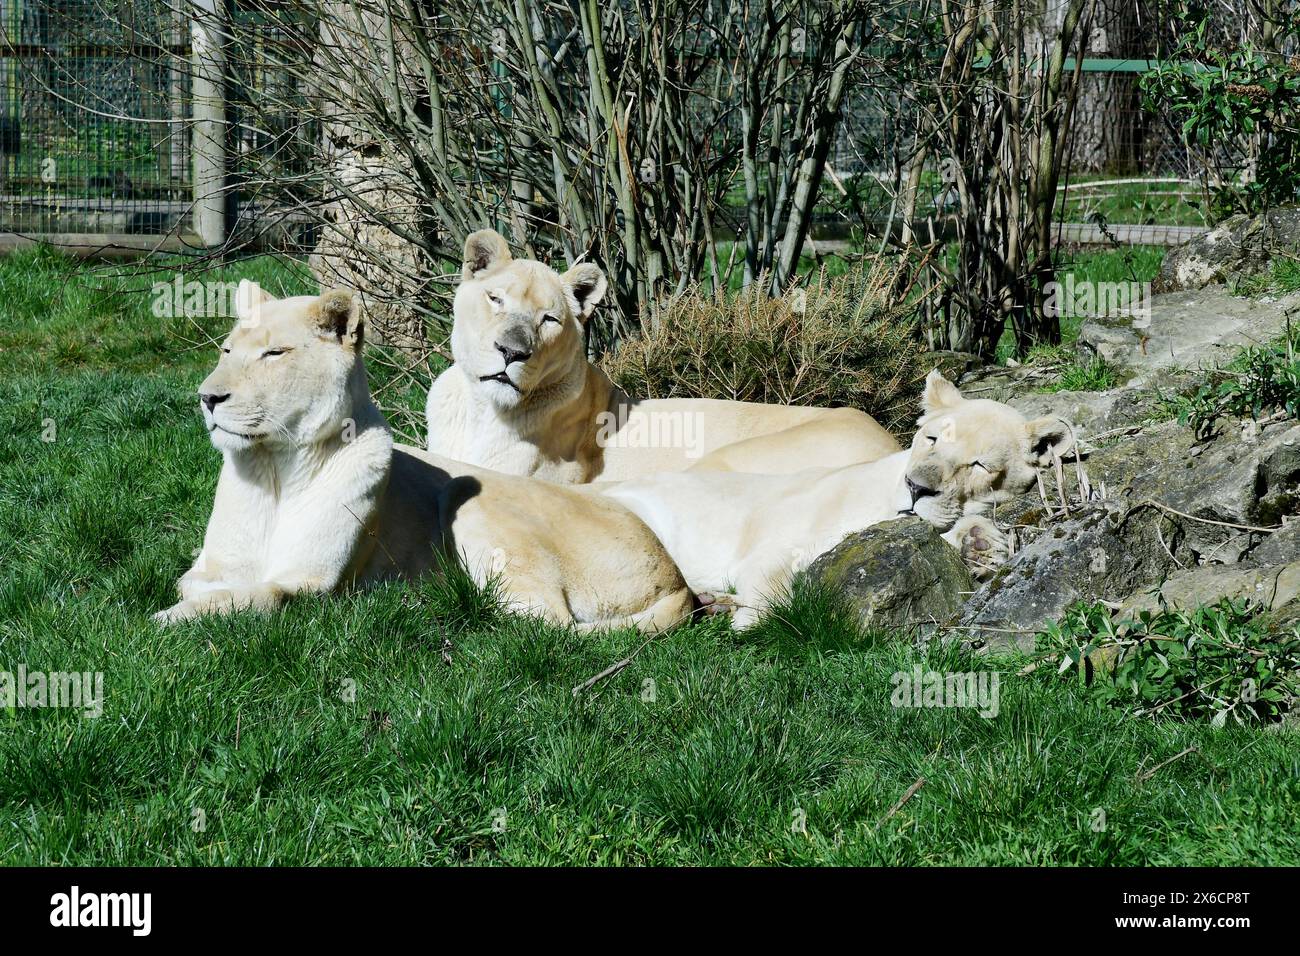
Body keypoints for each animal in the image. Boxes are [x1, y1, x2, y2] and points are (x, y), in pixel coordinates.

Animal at [154, 283, 693, 633]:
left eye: (273, 354)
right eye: (226, 350)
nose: (207, 398)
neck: (273, 471)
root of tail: (677, 577)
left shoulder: (316, 588)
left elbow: (261, 594)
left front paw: (163, 621)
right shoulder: (204, 572)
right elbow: (194, 585)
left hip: (466, 495)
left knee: (546, 625)